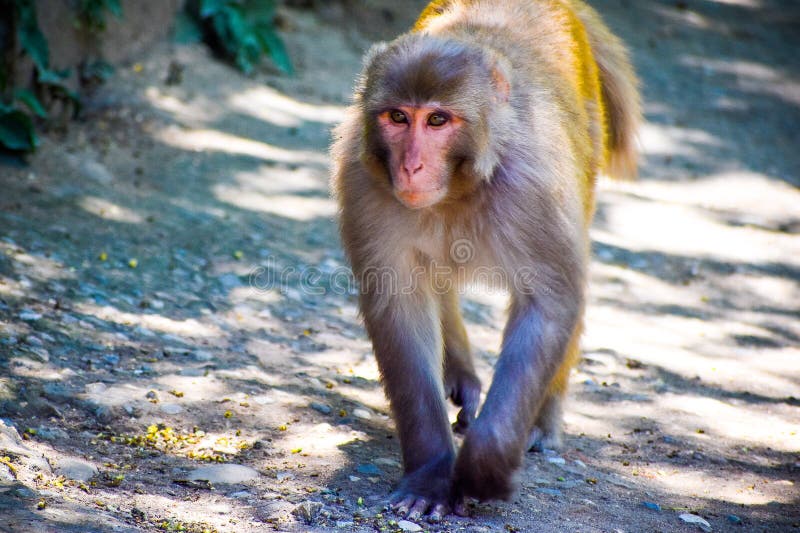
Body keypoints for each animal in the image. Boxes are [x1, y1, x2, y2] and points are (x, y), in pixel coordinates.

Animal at [331, 0, 640, 519]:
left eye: (438, 121)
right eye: (397, 117)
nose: (411, 167)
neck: (458, 188)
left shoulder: (534, 188)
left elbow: (550, 303)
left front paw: (484, 467)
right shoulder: (363, 181)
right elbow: (399, 309)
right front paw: (430, 473)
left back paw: (543, 421)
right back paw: (460, 370)